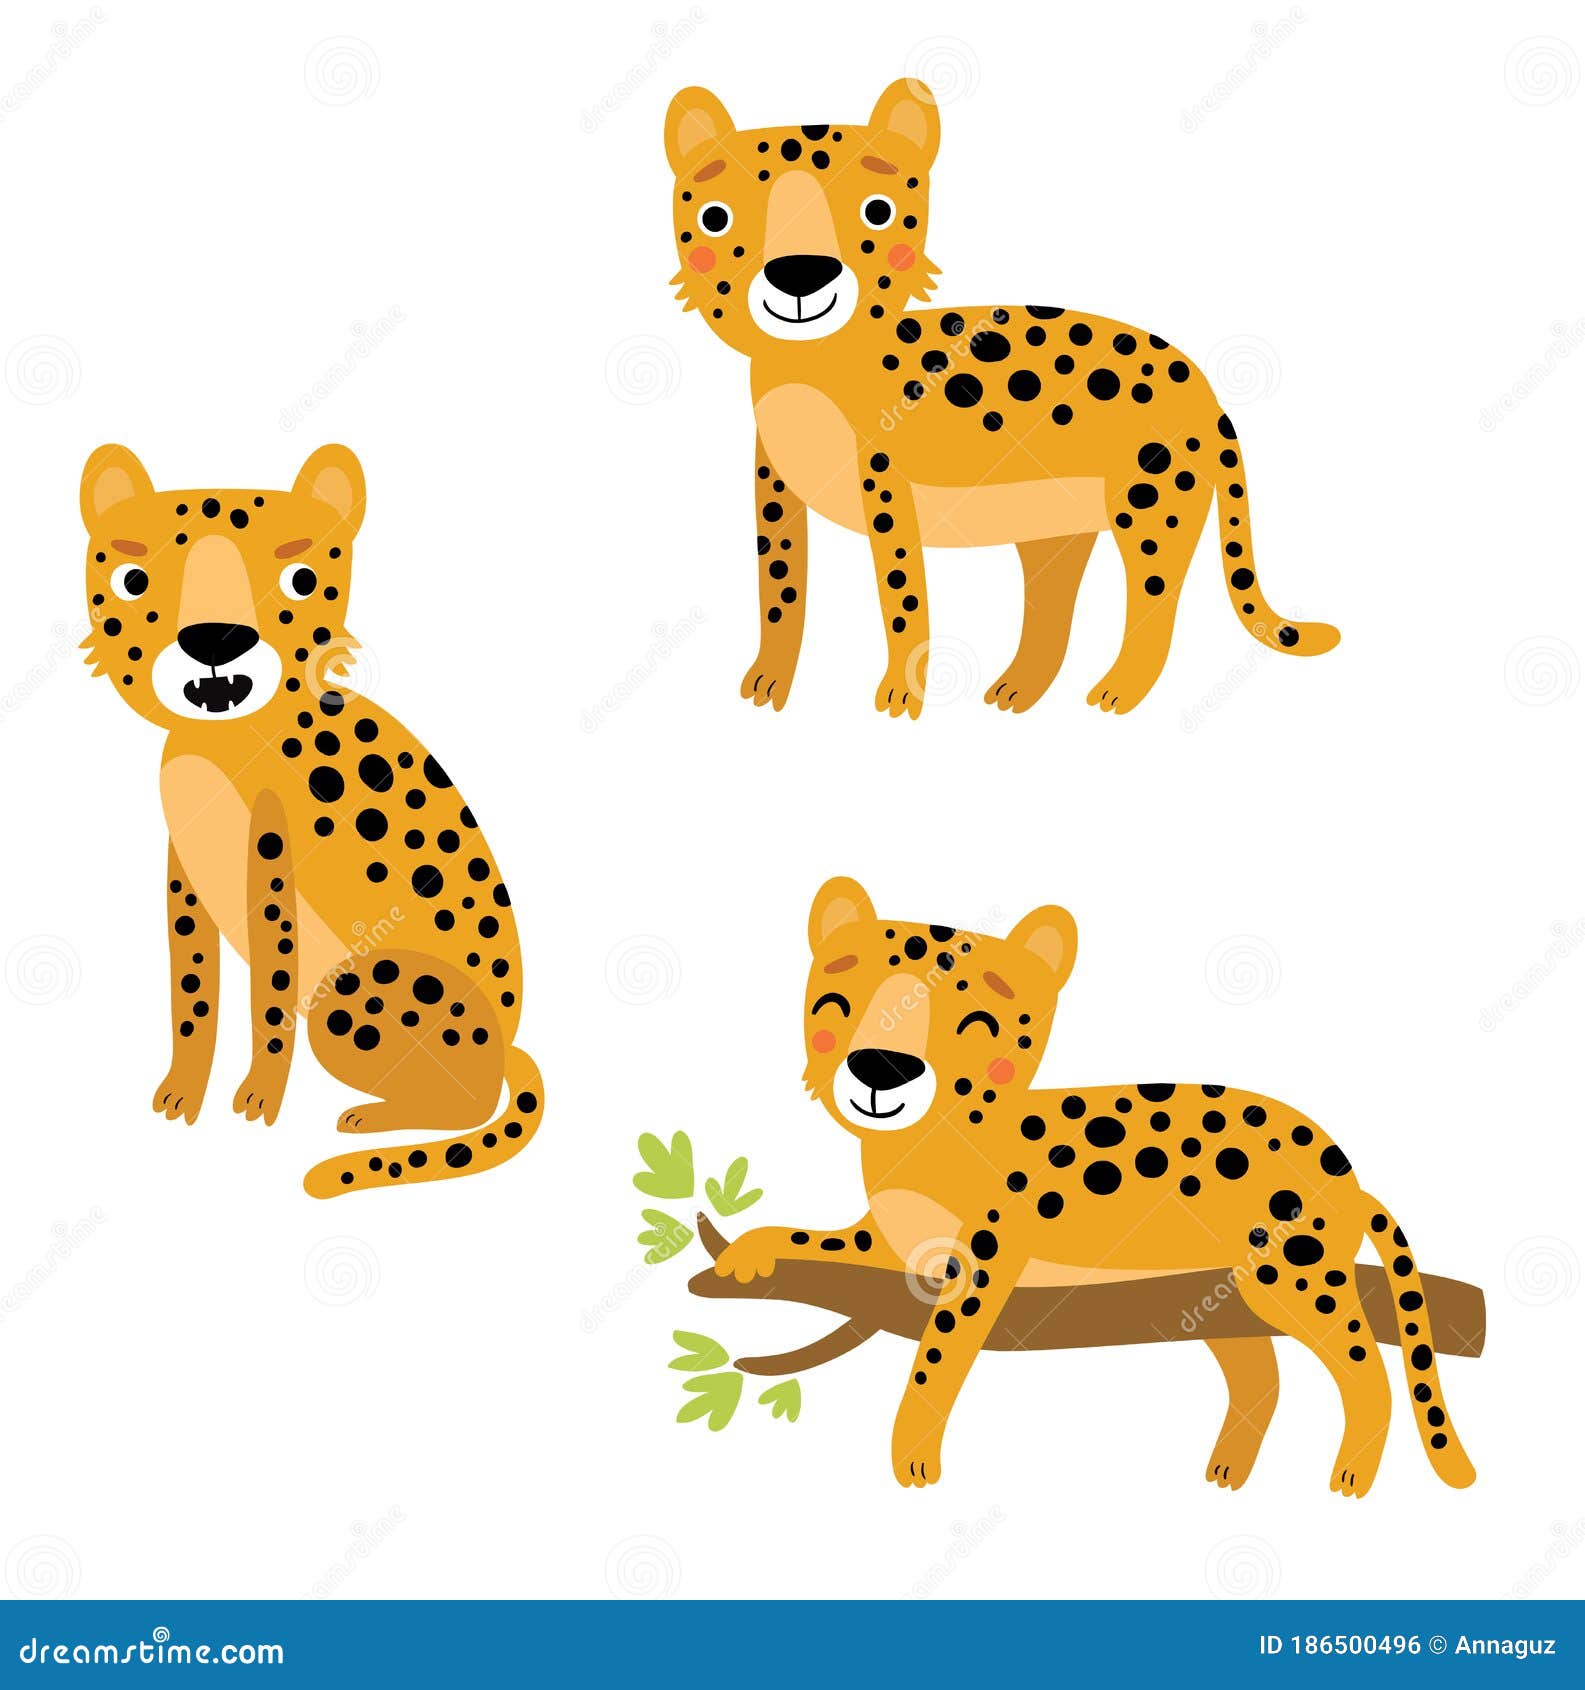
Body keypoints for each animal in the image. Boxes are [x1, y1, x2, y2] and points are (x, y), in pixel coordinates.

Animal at [80, 444, 543, 1197]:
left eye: (299, 578)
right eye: (132, 578)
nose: (216, 639)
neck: (223, 742)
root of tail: (511, 1044)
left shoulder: (272, 876)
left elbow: (268, 993)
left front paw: (259, 1095)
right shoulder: (186, 878)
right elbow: (192, 992)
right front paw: (184, 1090)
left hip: (352, 988)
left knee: (470, 1105)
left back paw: (374, 1120)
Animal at [665, 79, 1339, 718]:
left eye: (877, 211)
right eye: (717, 217)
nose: (801, 272)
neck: (809, 369)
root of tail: (1202, 383)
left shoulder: (889, 497)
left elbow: (900, 596)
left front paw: (902, 693)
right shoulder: (776, 497)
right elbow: (779, 590)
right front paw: (769, 679)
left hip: (1149, 506)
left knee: (1153, 601)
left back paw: (1119, 690)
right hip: (1055, 529)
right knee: (1053, 610)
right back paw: (1019, 689)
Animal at [713, 877, 1475, 1495]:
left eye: (975, 1024)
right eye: (836, 1004)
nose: (879, 1066)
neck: (918, 1146)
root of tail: (1348, 1170)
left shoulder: (980, 1265)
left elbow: (935, 1358)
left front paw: (913, 1454)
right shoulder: (888, 1240)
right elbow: (802, 1233)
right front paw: (746, 1250)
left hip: (1291, 1277)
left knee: (1363, 1369)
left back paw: (1352, 1476)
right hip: (1212, 1291)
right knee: (1262, 1373)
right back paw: (1228, 1469)